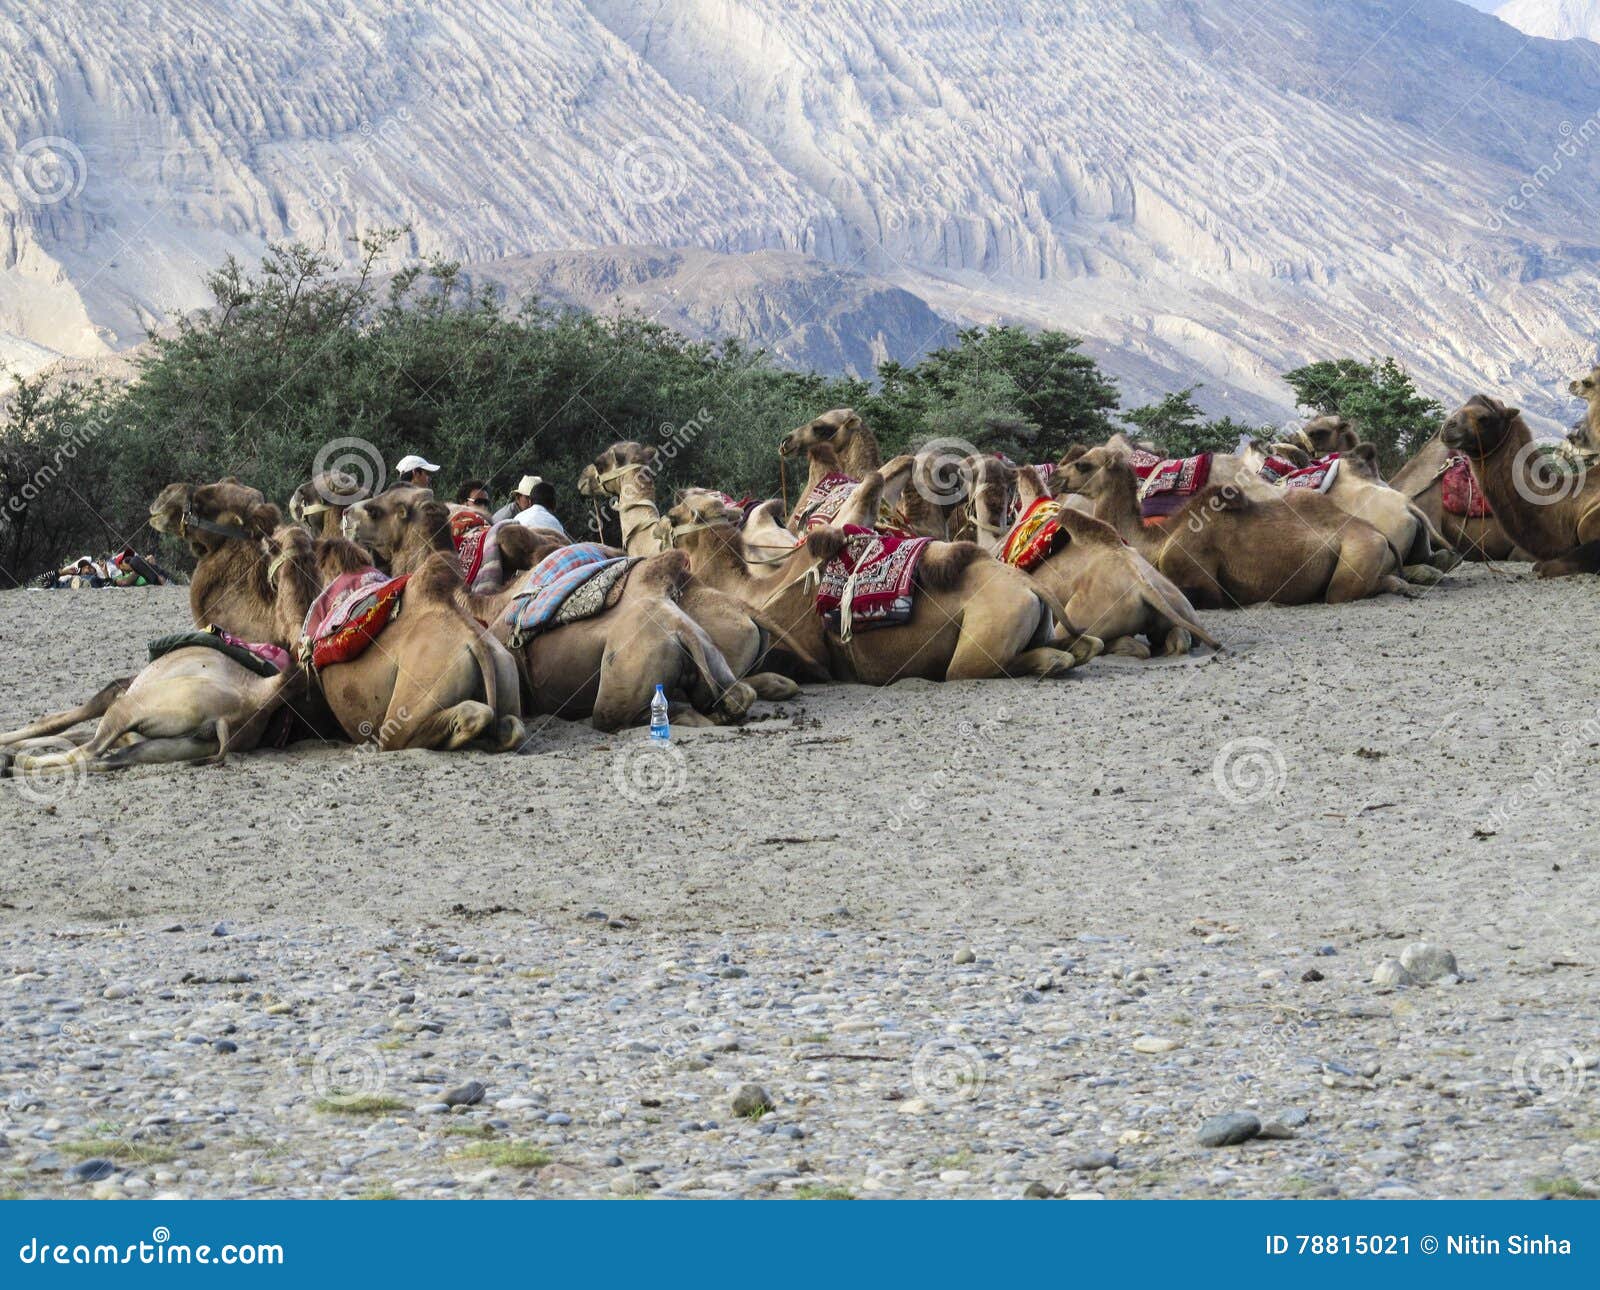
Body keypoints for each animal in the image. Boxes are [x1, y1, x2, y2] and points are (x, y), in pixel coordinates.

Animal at [341, 488, 760, 730]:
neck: (472, 598)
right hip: (708, 653)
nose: (345, 515)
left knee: (620, 714)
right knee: (739, 695)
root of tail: (681, 630)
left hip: (627, 673)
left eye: (375, 510)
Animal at [662, 485, 1102, 685]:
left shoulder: (808, 654)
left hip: (989, 628)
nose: (676, 493)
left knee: (968, 668)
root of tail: (1033, 588)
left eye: (676, 512)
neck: (753, 588)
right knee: (1083, 645)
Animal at [1054, 446, 1411, 607]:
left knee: (1342, 592)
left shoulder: (1199, 577)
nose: (1056, 476)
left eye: (1083, 464)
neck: (1157, 540)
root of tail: (1380, 534)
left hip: (1358, 553)